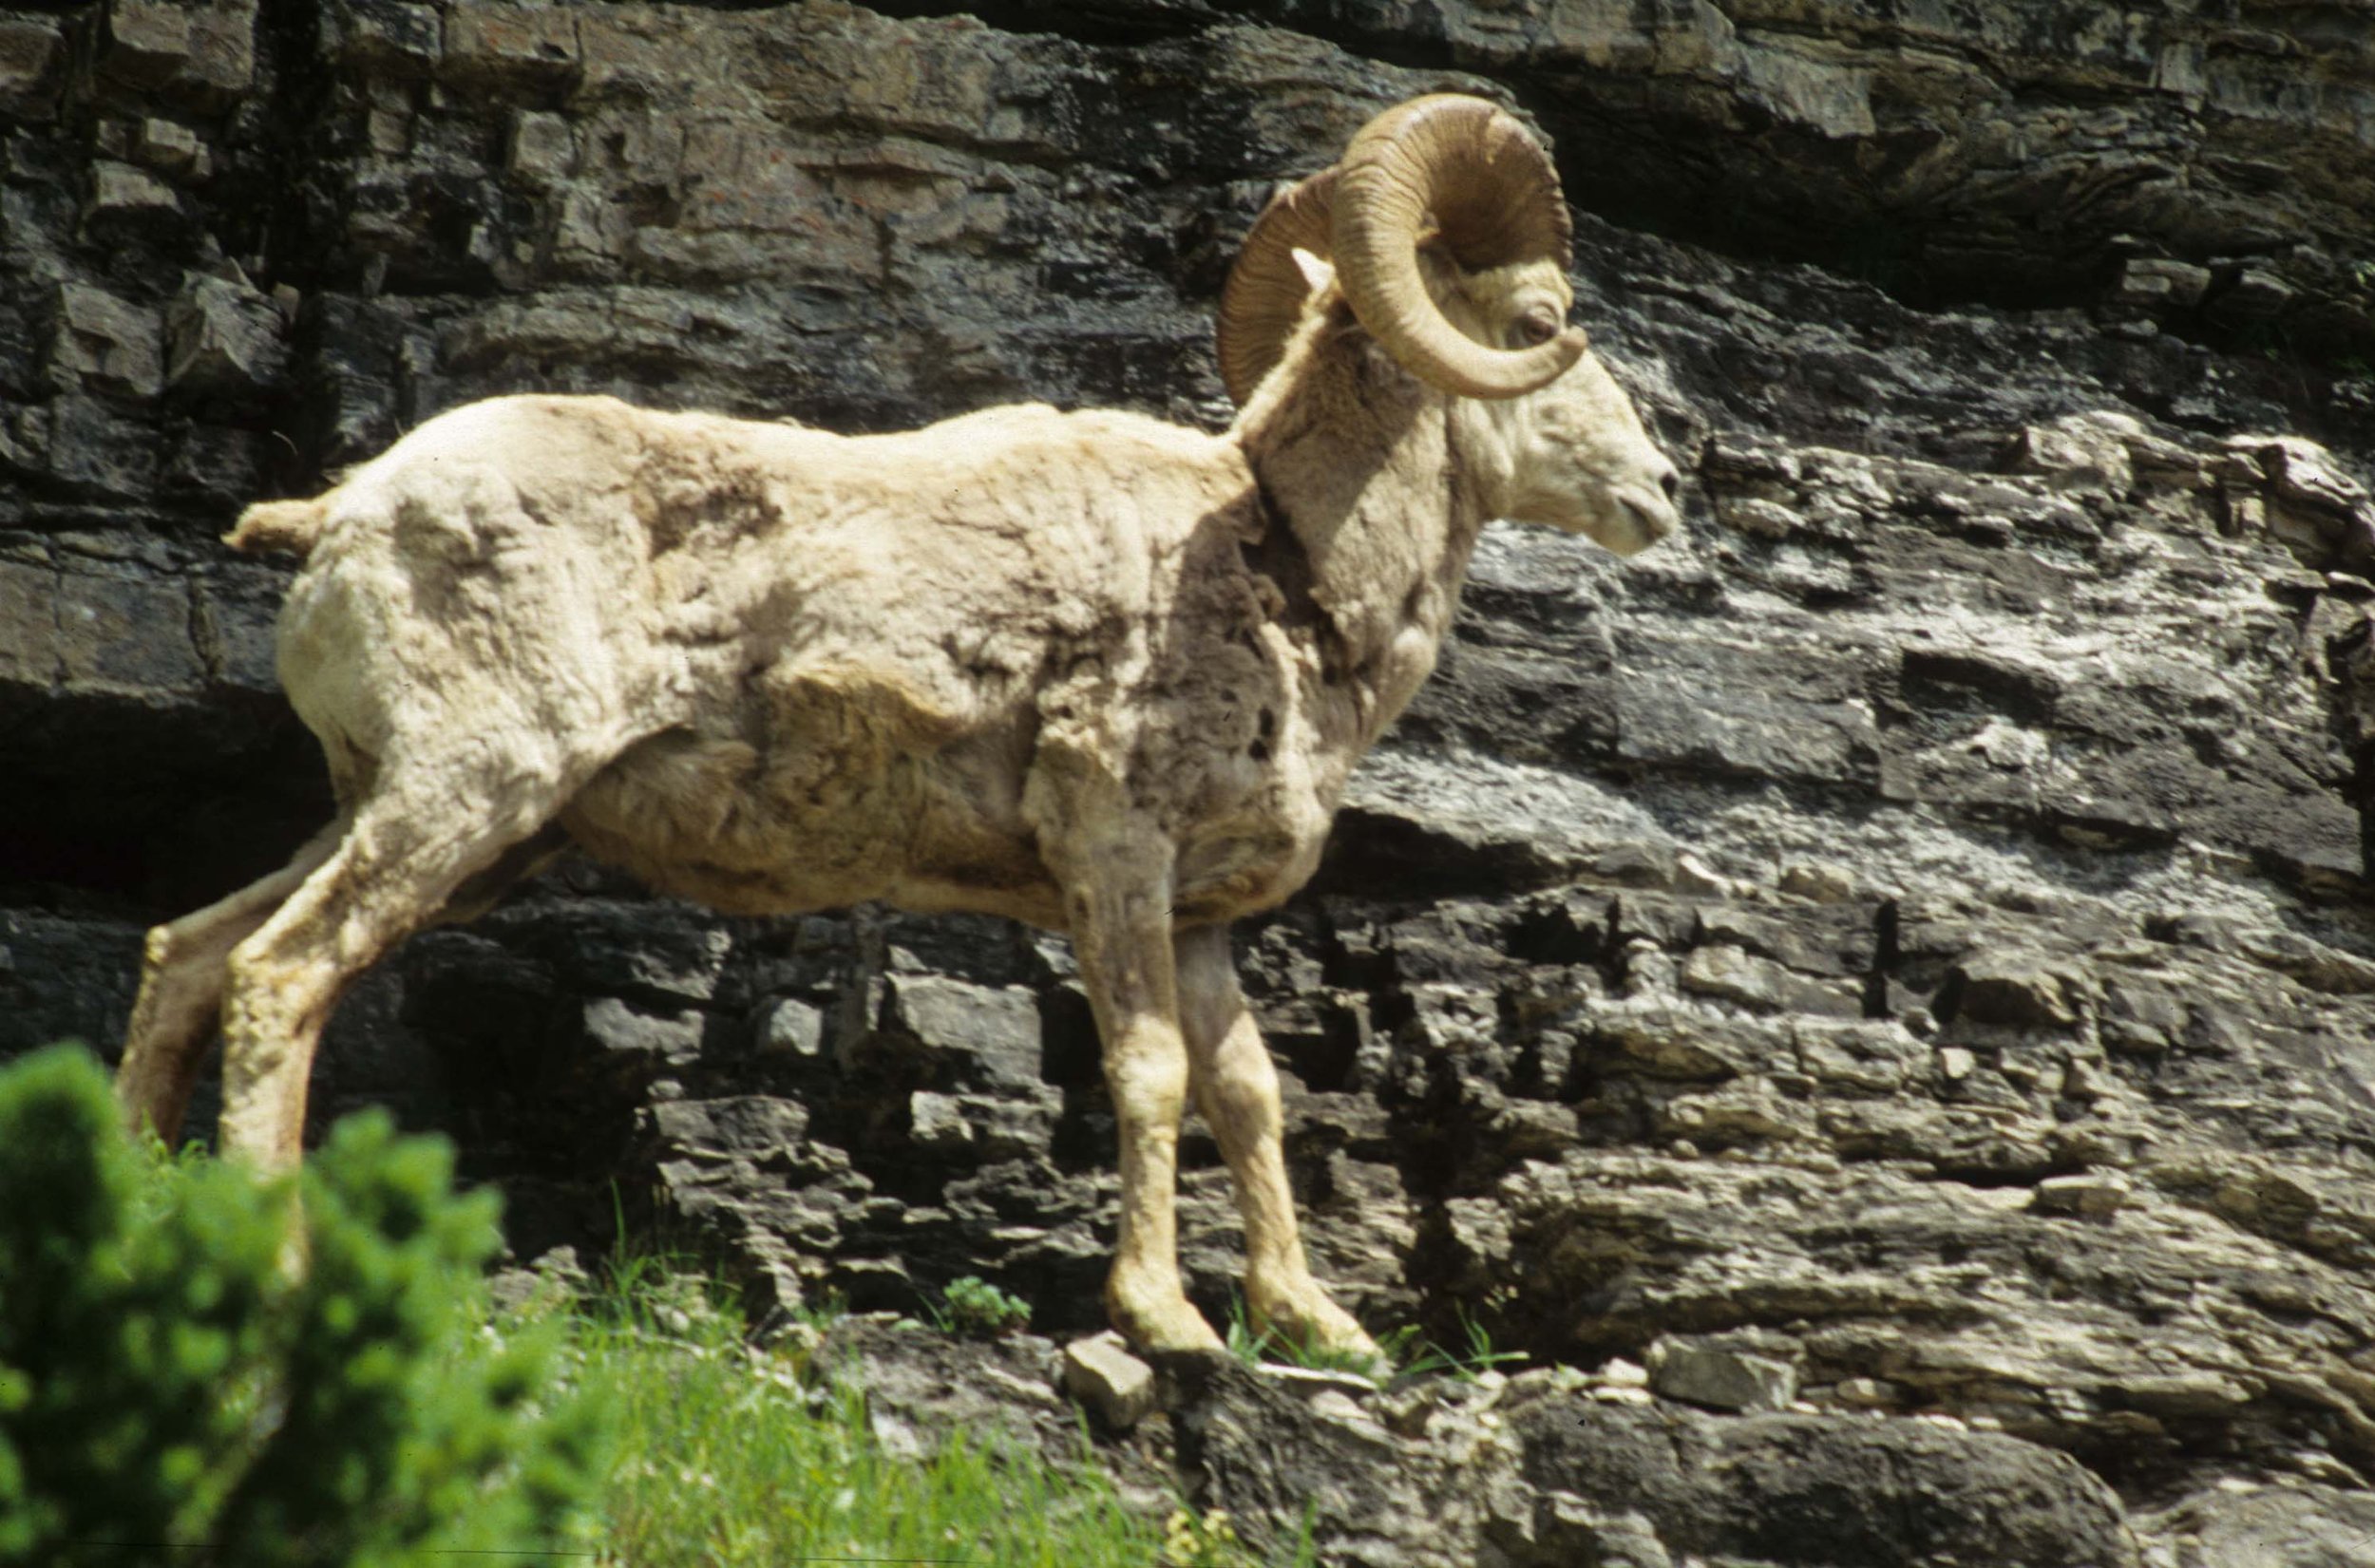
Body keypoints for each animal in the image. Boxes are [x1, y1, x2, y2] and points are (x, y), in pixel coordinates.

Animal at [116, 94, 1682, 1359]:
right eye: (1537, 325)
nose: (1662, 488)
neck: (1285, 567)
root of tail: (344, 515)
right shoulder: (1113, 859)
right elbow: (1154, 1072)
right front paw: (1167, 1320)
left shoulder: (1199, 916)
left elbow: (1248, 1093)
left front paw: (1314, 1325)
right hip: (463, 794)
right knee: (278, 972)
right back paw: (274, 1259)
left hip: (432, 818)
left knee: (190, 953)